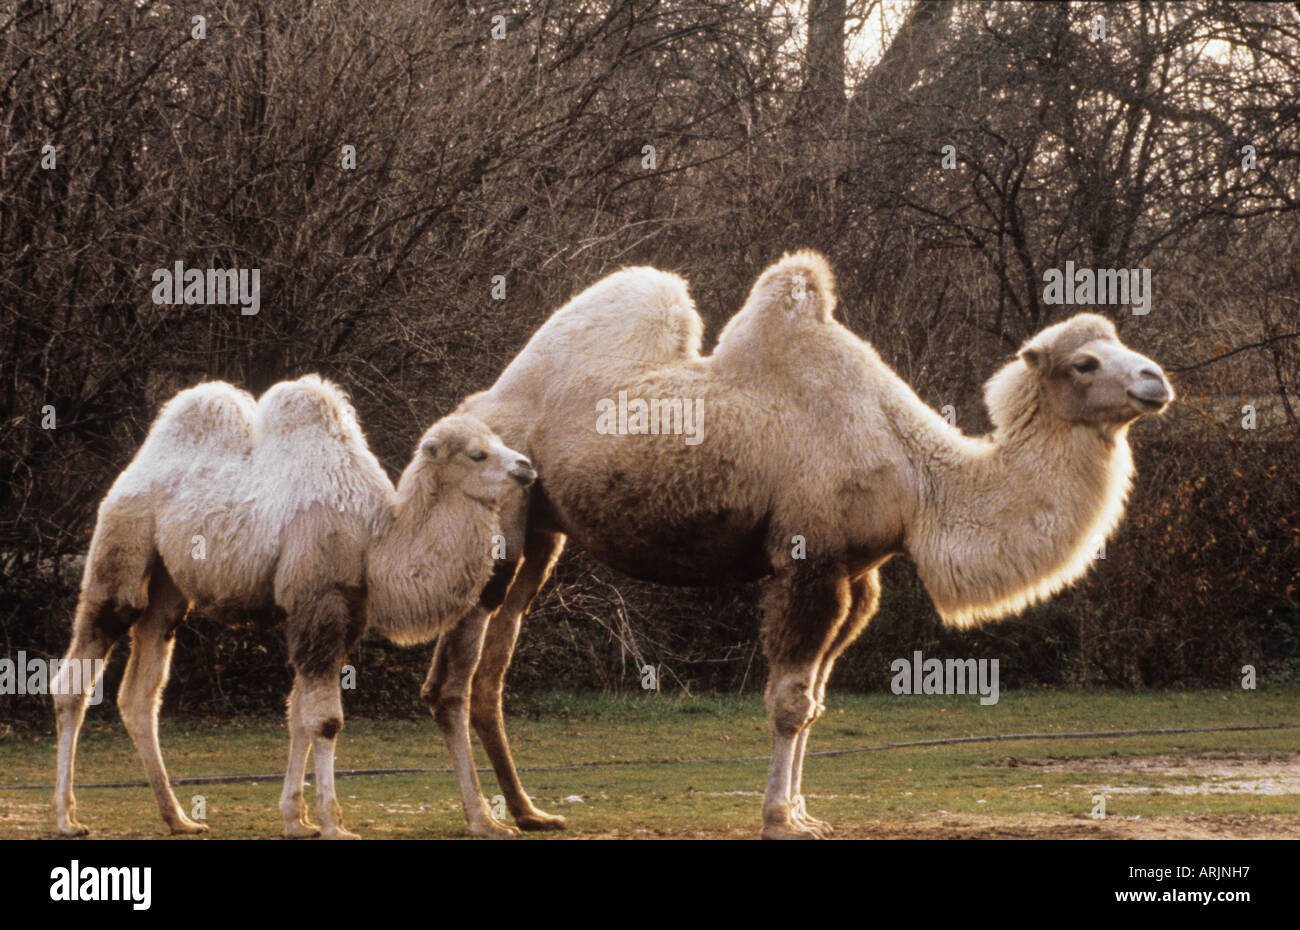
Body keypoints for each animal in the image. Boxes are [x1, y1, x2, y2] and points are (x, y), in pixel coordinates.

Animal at [53, 375, 535, 839]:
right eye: (477, 454)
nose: (526, 466)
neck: (373, 541)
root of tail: (130, 473)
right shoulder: (318, 601)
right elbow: (324, 720)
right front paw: (334, 824)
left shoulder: (344, 615)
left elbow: (298, 715)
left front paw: (297, 820)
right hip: (122, 545)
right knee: (78, 673)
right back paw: (67, 819)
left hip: (168, 587)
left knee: (141, 691)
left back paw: (178, 819)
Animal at [424, 250, 1173, 839]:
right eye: (1085, 362)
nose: (1156, 380)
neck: (920, 479)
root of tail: (477, 408)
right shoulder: (809, 561)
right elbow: (788, 701)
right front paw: (780, 819)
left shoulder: (859, 575)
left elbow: (813, 704)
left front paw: (805, 811)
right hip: (495, 526)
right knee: (452, 678)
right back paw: (482, 819)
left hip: (540, 527)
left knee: (491, 668)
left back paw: (529, 812)